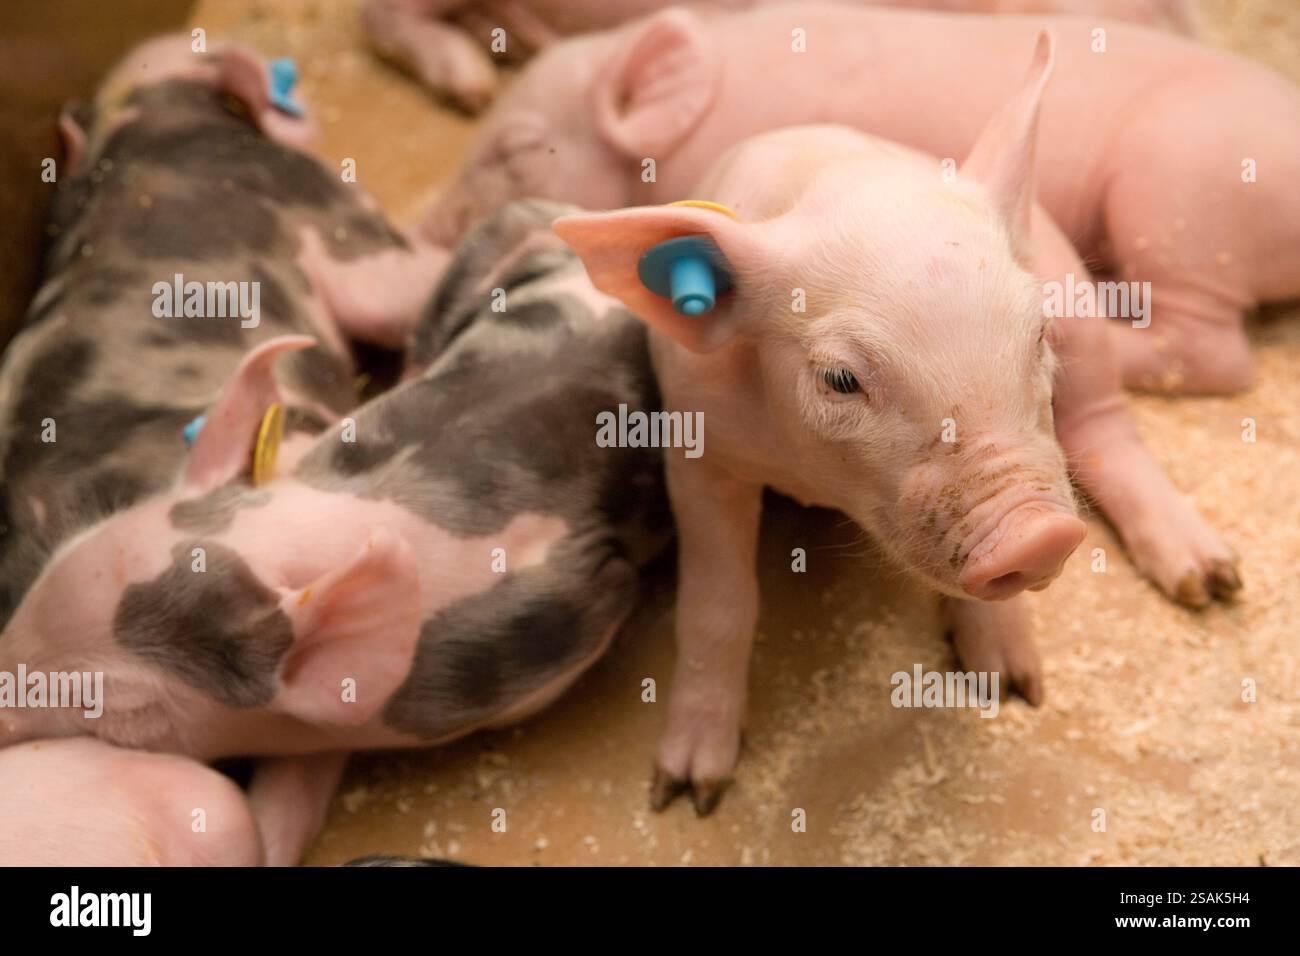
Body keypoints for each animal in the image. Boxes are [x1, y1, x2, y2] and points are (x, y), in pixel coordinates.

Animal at [554, 32, 1240, 813]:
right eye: (839, 379)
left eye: (1037, 333)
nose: (1037, 532)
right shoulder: (699, 449)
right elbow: (717, 602)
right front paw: (687, 793)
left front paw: (1011, 689)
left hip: (1087, 318)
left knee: (1106, 428)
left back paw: (1212, 581)